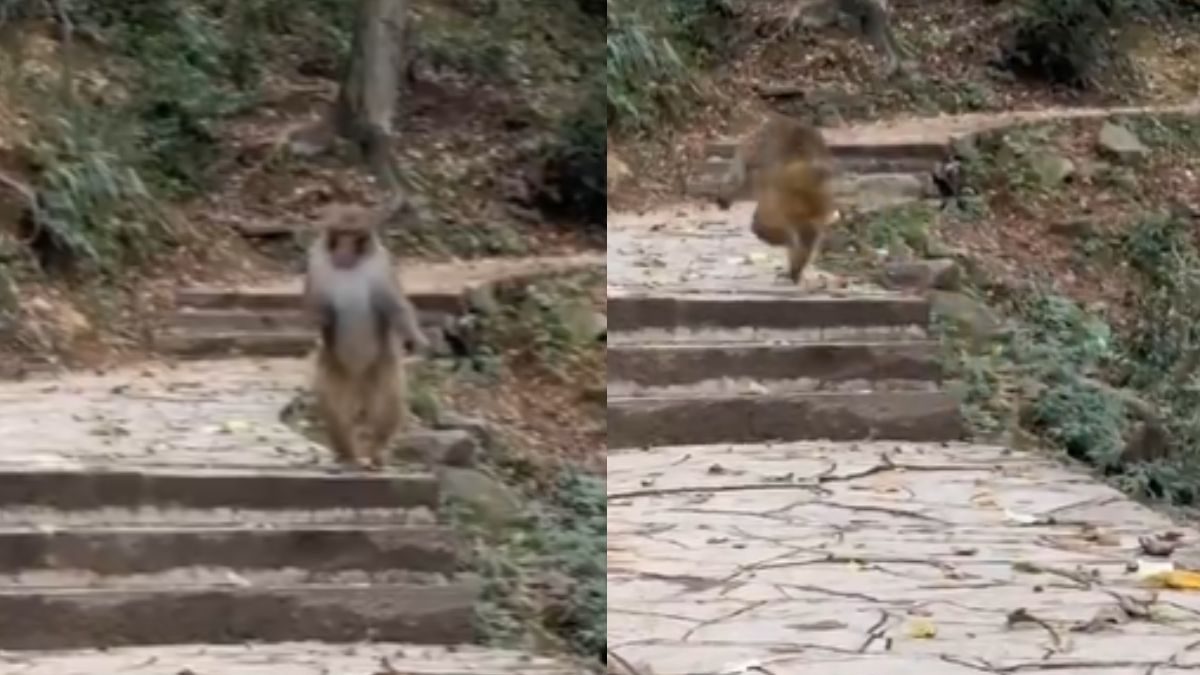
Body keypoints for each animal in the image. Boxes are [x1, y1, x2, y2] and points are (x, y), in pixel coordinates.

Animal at [303, 206, 430, 471]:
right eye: (340, 233)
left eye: (354, 235)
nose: (344, 249)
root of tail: (358, 379)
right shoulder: (315, 262)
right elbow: (318, 308)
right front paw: (320, 319)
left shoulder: (382, 263)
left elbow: (394, 307)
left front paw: (415, 339)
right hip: (336, 369)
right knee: (334, 409)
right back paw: (347, 455)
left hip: (381, 365)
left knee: (388, 406)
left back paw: (376, 453)